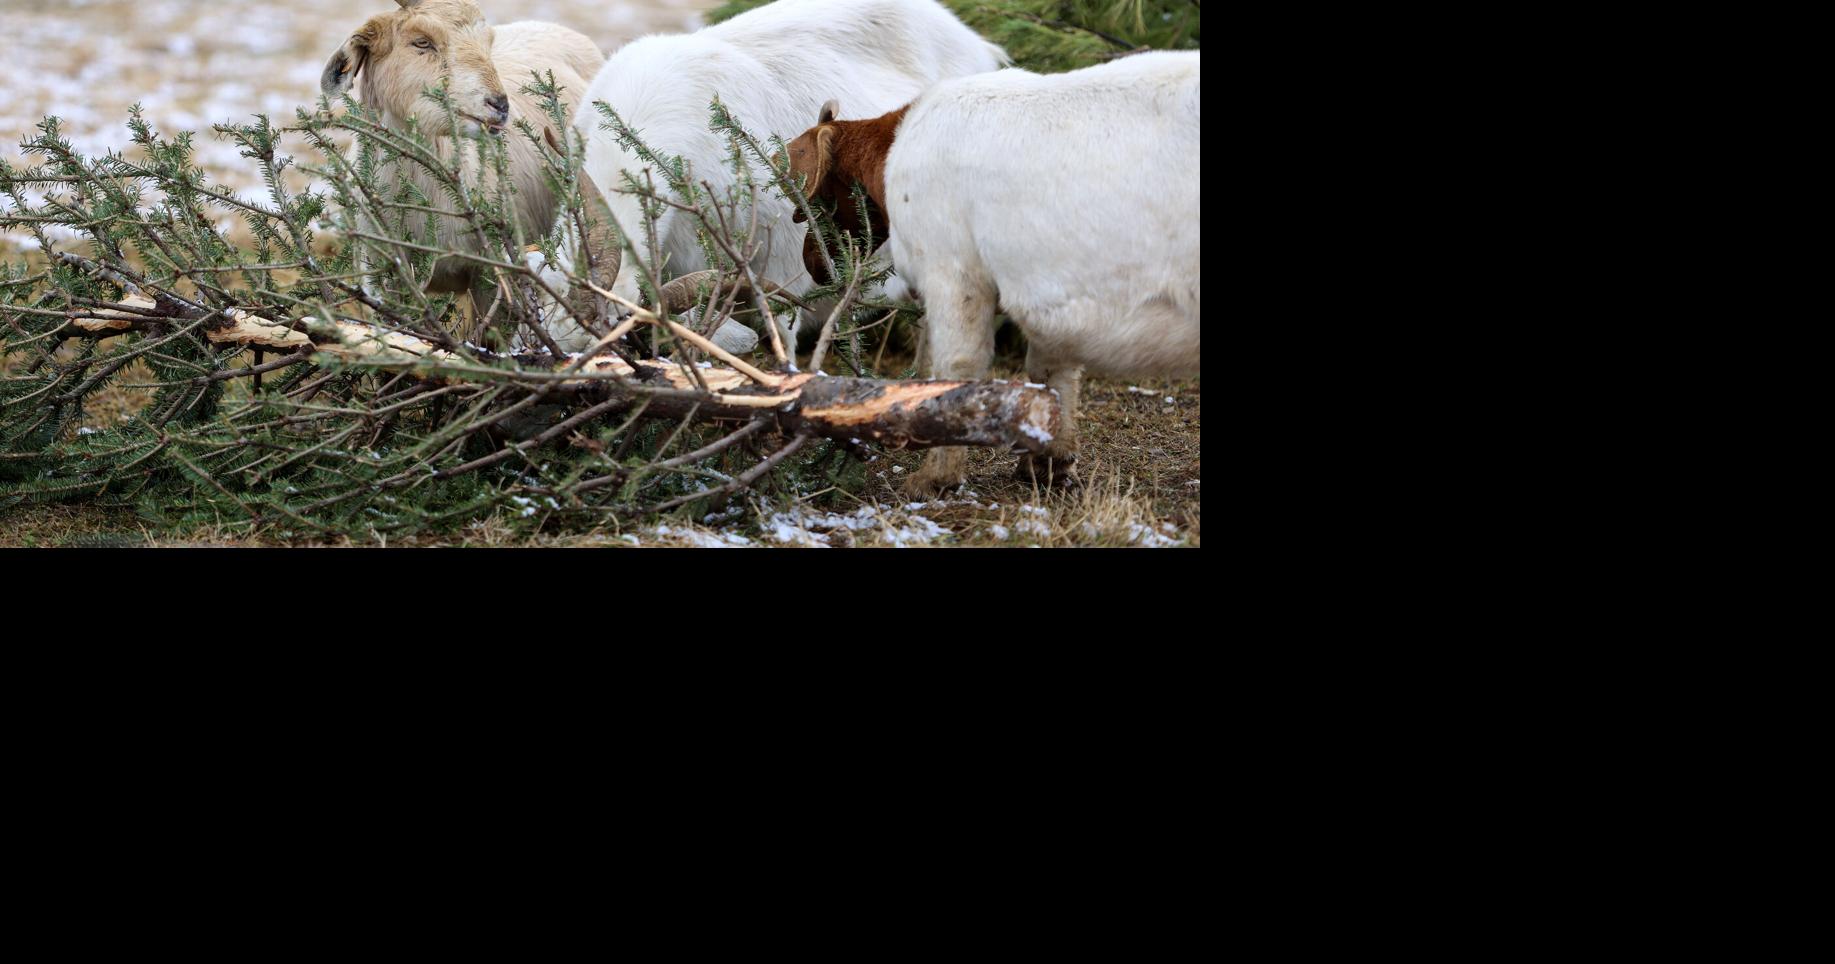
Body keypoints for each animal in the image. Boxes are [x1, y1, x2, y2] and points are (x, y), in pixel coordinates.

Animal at [792, 51, 1201, 495]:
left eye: (817, 199)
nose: (812, 263)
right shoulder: (1051, 295)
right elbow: (1051, 373)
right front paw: (1051, 464)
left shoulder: (951, 267)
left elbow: (956, 366)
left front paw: (935, 477)